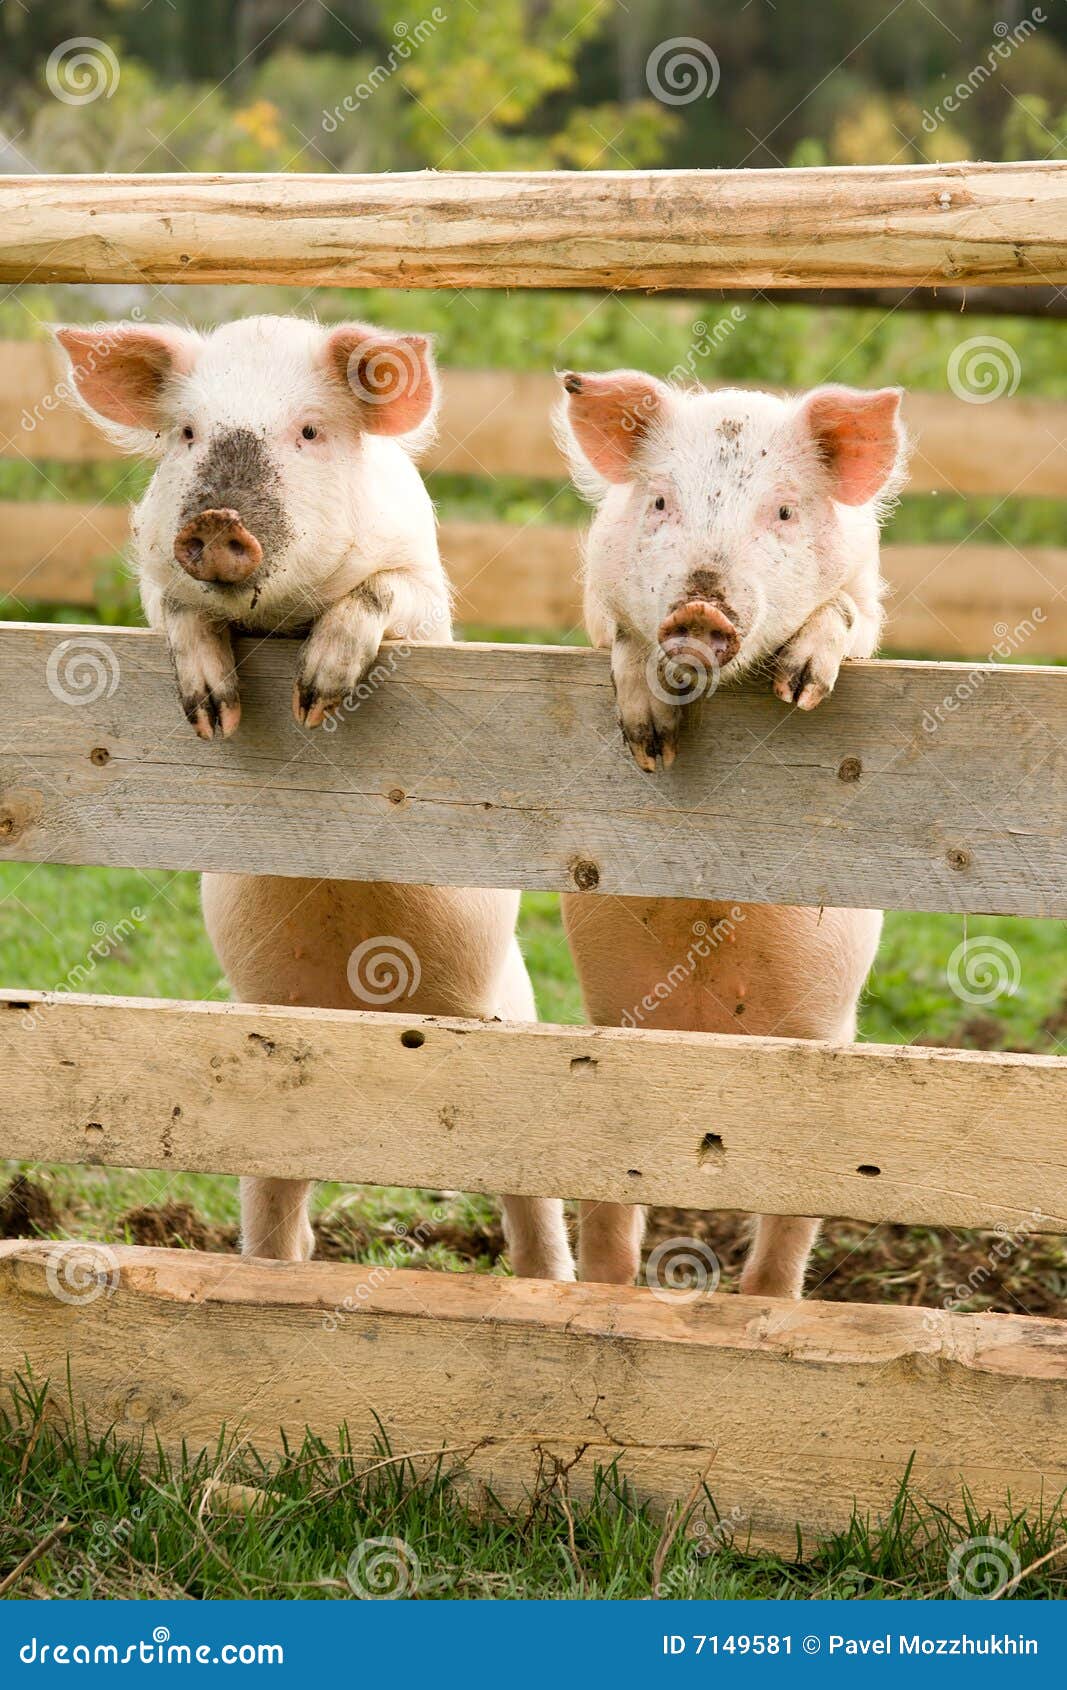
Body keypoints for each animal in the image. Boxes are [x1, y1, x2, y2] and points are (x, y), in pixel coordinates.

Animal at [55, 315, 574, 1282]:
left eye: (308, 431)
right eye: (188, 434)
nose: (217, 520)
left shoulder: (428, 594)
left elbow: (386, 595)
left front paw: (316, 696)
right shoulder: (153, 585)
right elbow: (176, 613)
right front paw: (214, 713)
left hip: (509, 1015)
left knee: (534, 1214)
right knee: (282, 1224)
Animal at [555, 368, 906, 1298]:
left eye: (782, 511)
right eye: (660, 502)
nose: (700, 609)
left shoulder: (868, 601)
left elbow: (844, 621)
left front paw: (800, 687)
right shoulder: (597, 600)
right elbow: (617, 637)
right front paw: (649, 745)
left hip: (822, 1035)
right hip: (616, 1025)